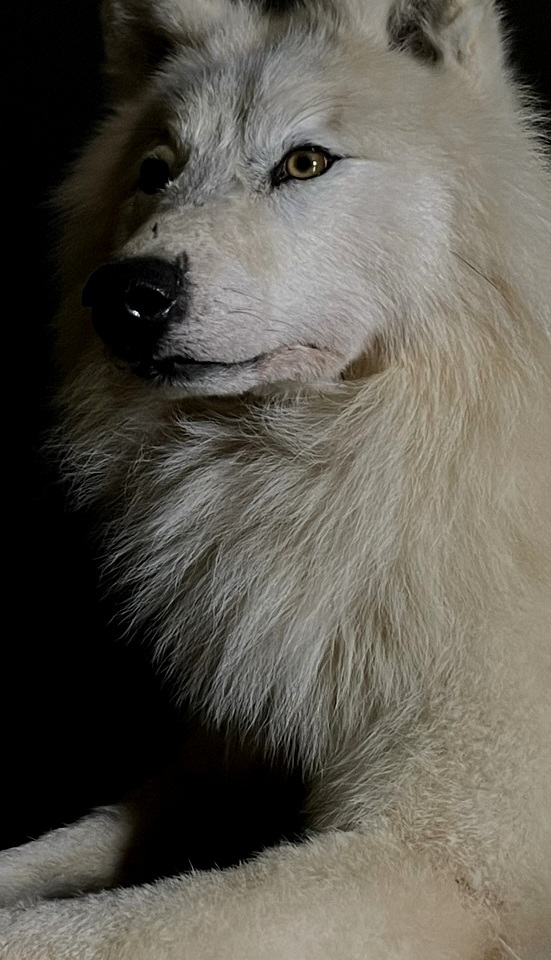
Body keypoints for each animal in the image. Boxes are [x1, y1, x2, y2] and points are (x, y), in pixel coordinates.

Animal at [1, 0, 550, 957]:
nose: (123, 297)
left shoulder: (436, 863)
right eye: (155, 172)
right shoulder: (224, 760)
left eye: (303, 162)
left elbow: (93, 931)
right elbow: (57, 856)